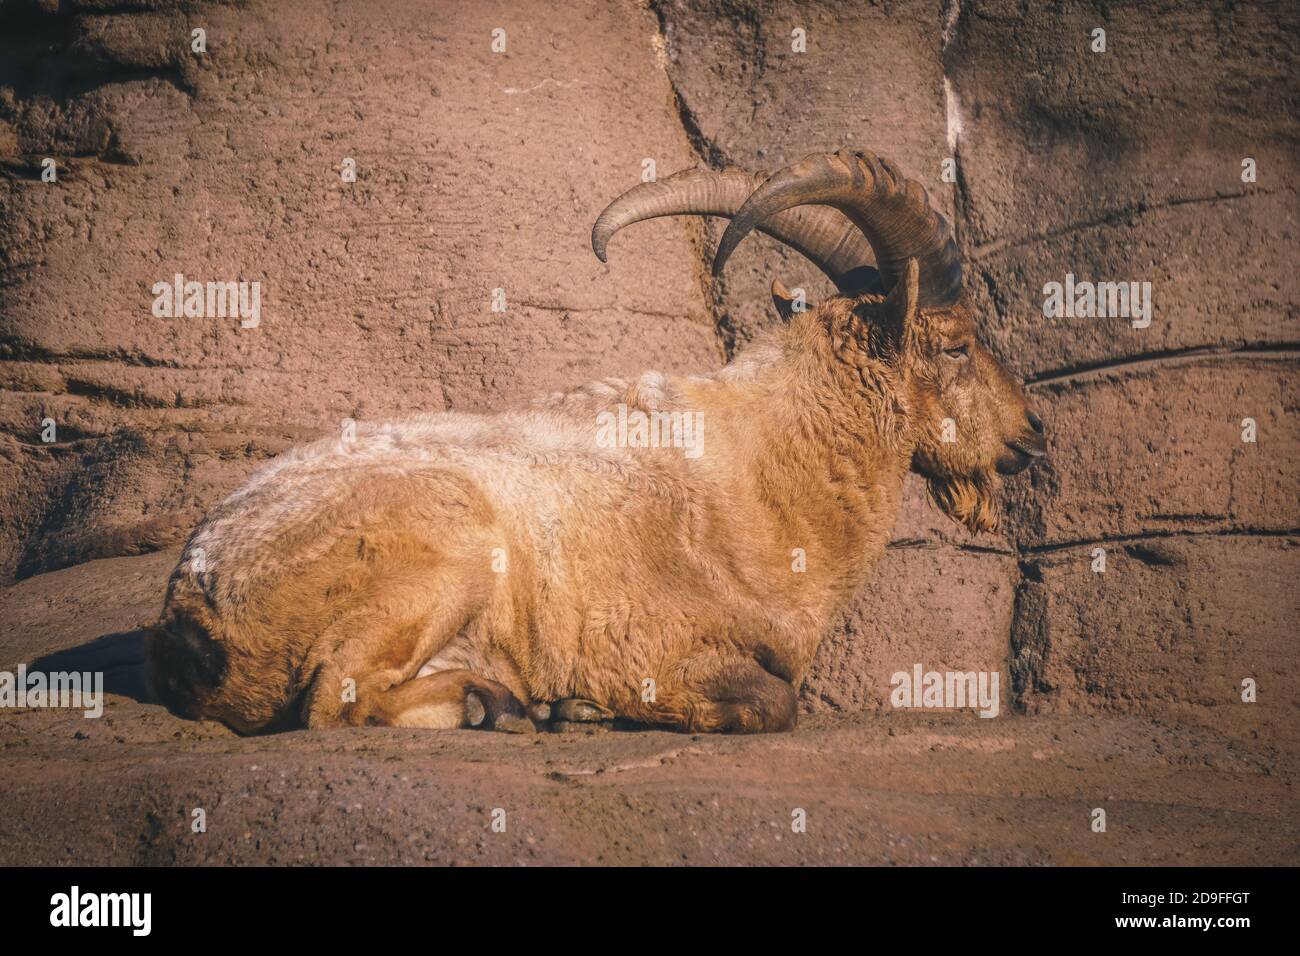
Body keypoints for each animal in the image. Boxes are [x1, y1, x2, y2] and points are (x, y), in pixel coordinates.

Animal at [145, 149, 1047, 735]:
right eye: (957, 343)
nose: (1031, 434)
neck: (762, 478)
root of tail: (195, 593)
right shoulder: (653, 640)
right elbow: (770, 702)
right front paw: (593, 703)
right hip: (447, 551)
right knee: (334, 699)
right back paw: (496, 705)